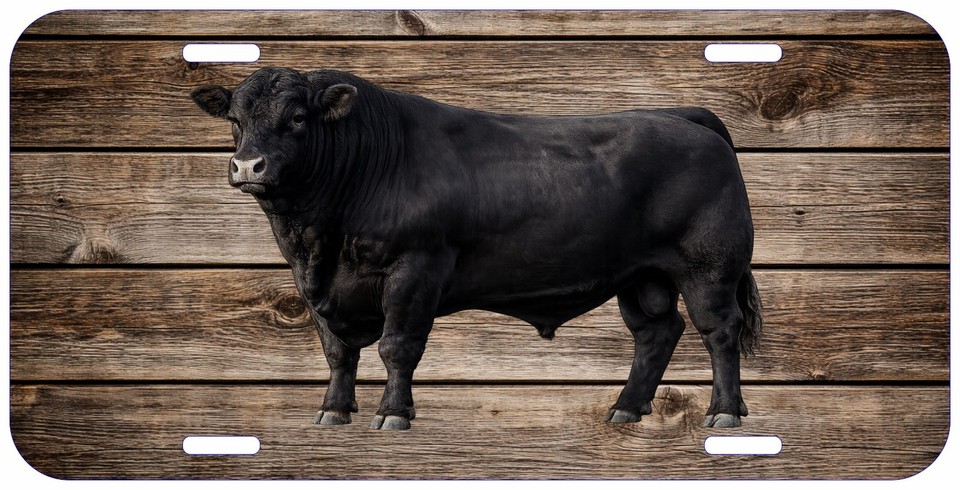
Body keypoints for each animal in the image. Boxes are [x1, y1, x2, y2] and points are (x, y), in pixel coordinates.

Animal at [191, 67, 762, 431]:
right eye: (236, 121)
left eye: (298, 118)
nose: (248, 165)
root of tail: (683, 114)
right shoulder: (311, 283)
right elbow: (337, 351)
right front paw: (334, 411)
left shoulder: (414, 270)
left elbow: (397, 347)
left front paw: (392, 414)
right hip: (641, 277)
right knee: (656, 333)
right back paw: (625, 408)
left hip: (709, 268)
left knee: (719, 332)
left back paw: (724, 413)